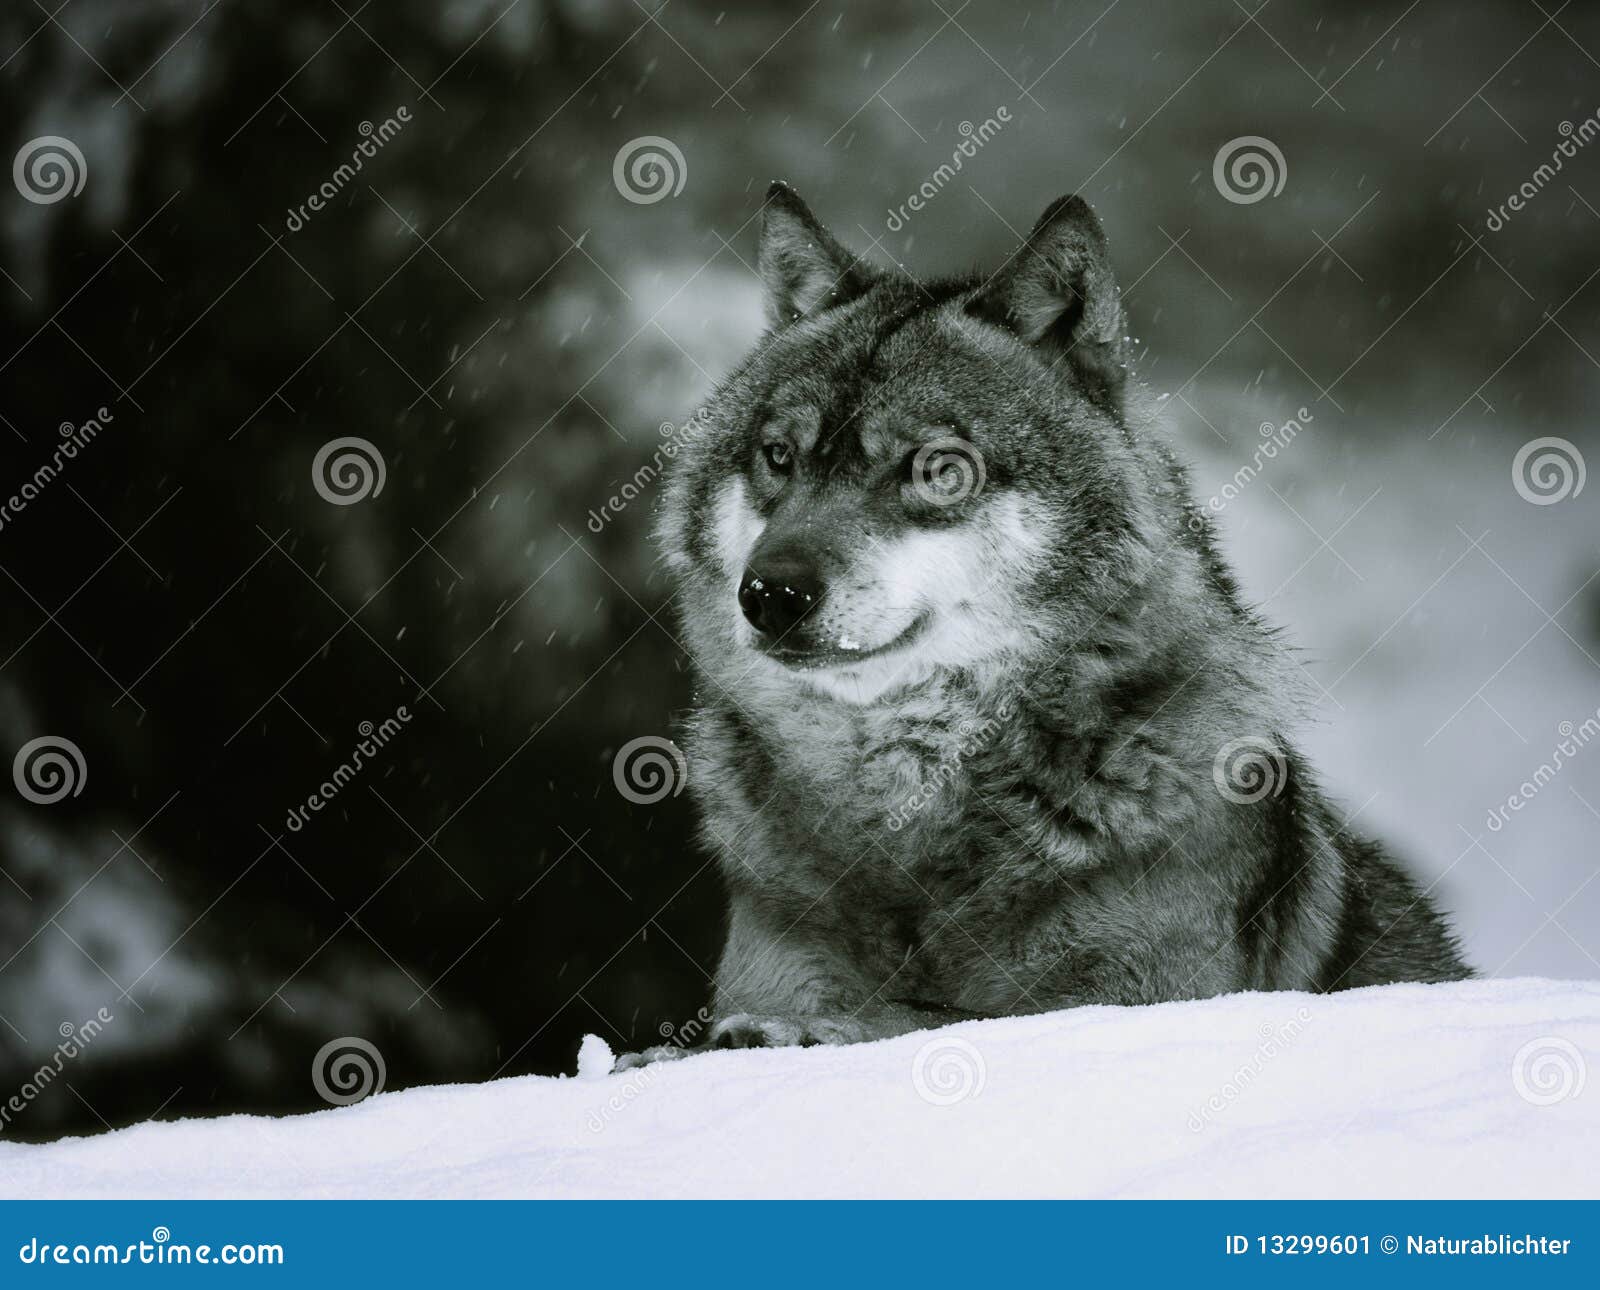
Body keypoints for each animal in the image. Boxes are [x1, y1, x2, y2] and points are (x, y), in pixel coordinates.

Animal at [620, 183, 1468, 1066]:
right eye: (779, 457)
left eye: (938, 469)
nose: (771, 594)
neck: (910, 803)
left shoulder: (1145, 997)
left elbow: (929, 1014)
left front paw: (785, 1035)